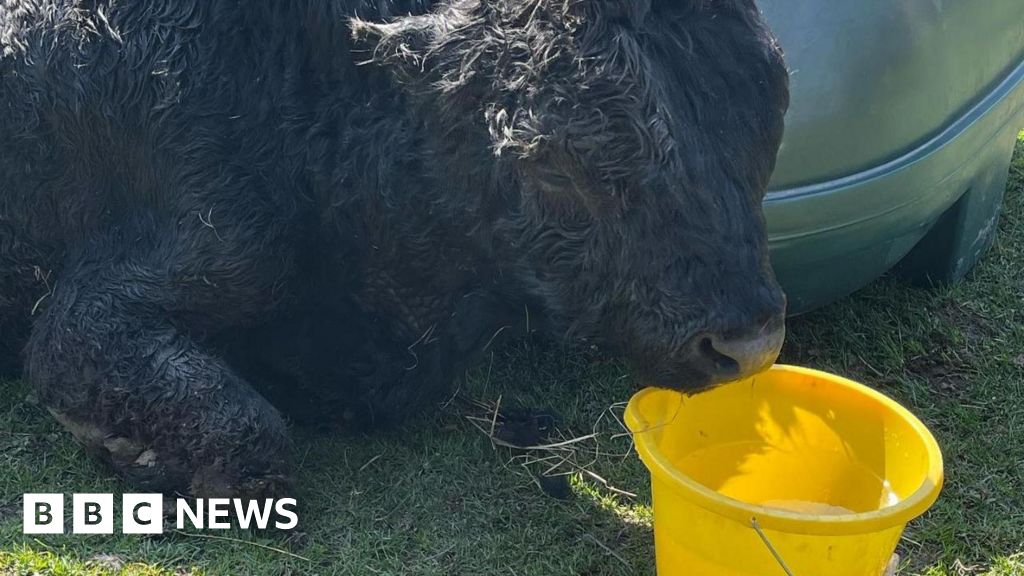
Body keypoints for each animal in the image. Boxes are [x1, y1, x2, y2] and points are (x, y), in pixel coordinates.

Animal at [0, 0, 789, 497]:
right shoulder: (114, 299)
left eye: (768, 117)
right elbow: (254, 438)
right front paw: (127, 448)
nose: (745, 342)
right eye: (556, 166)